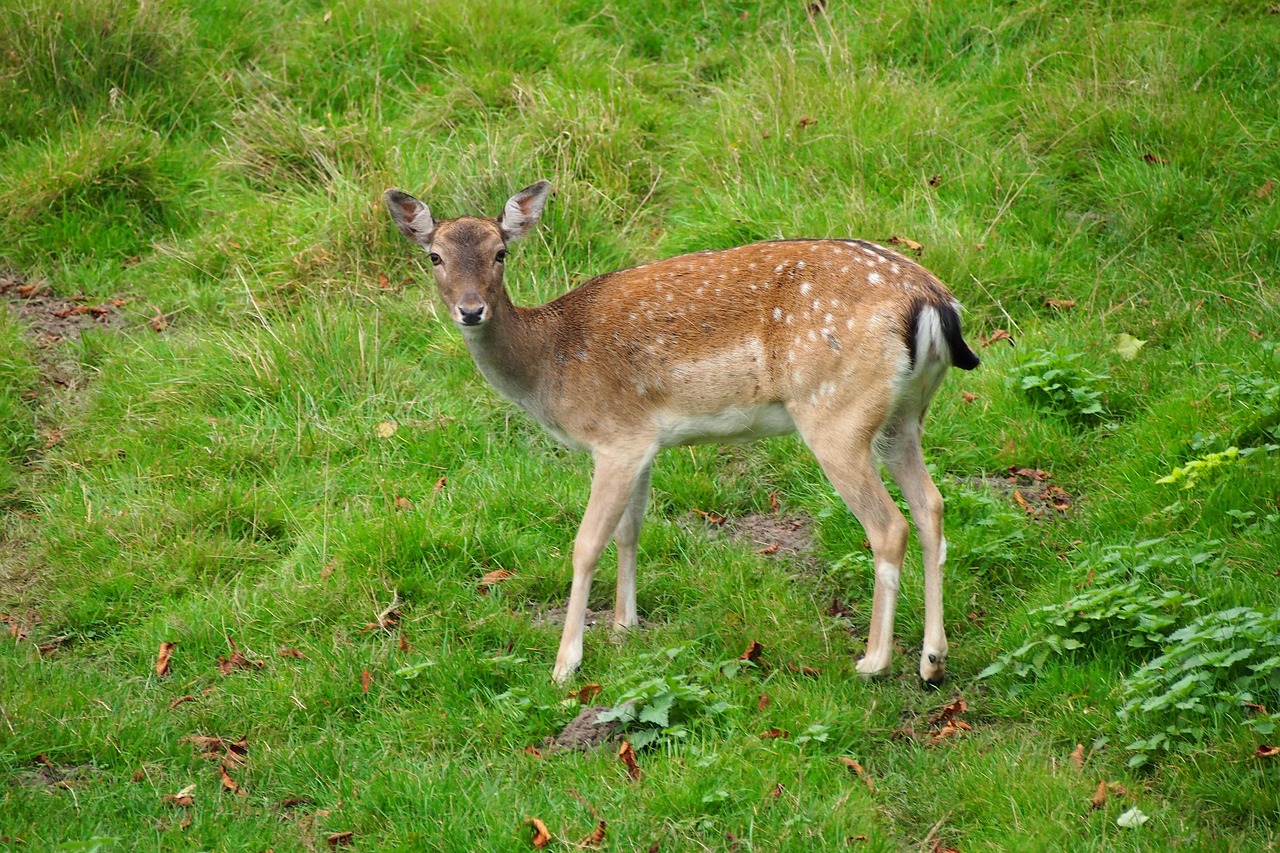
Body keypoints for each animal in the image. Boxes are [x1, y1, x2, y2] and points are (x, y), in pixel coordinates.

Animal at [384, 180, 980, 686]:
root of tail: (934, 302)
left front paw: (565, 664)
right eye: (435, 256)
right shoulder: (643, 440)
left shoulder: (614, 439)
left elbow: (586, 543)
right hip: (904, 416)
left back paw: (874, 660)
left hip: (835, 413)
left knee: (888, 525)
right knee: (931, 505)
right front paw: (624, 627)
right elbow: (630, 530)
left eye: (500, 253)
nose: (471, 310)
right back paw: (932, 661)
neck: (550, 366)